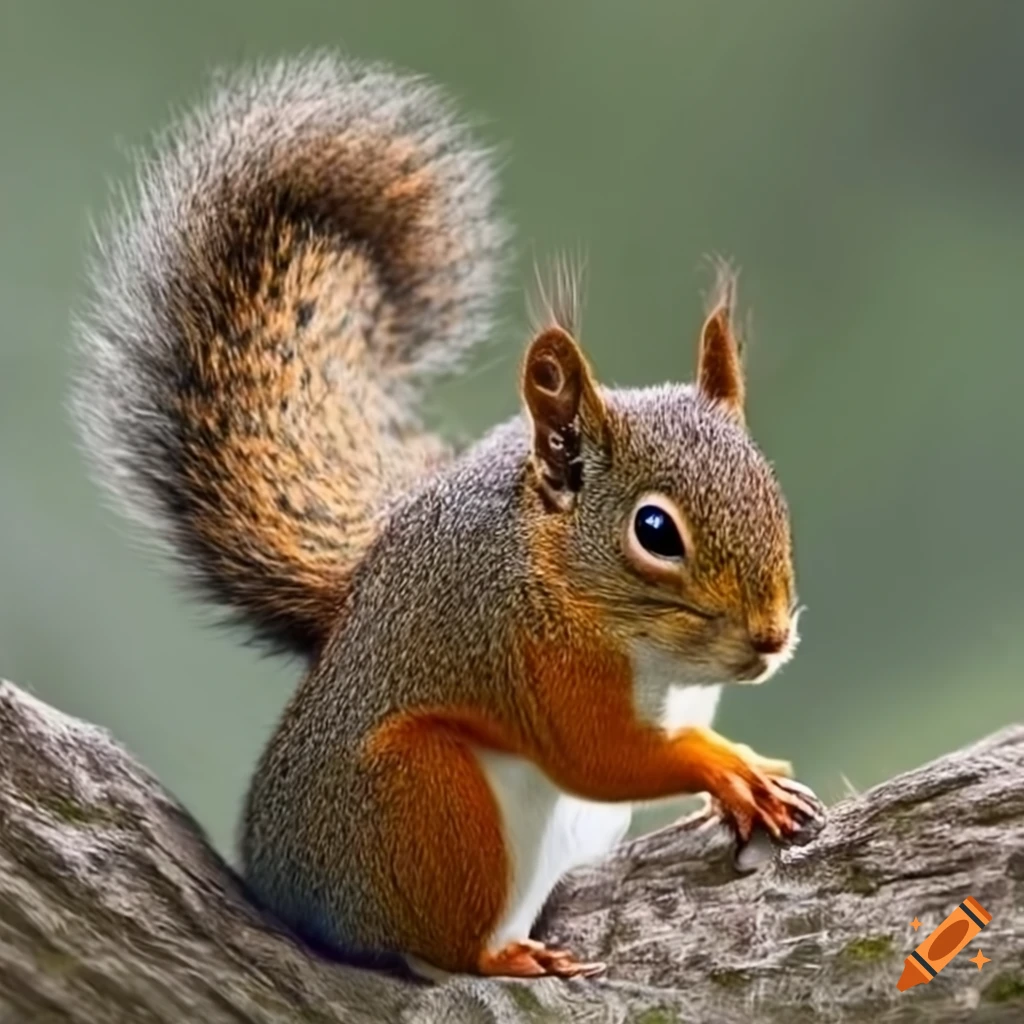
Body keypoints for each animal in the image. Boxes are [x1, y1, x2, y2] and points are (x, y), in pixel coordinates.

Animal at [73, 53, 816, 980]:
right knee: (439, 945)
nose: (772, 637)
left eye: (773, 493)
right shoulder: (531, 654)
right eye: (654, 532)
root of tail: (284, 889)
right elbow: (601, 756)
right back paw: (510, 957)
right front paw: (732, 770)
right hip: (427, 800)